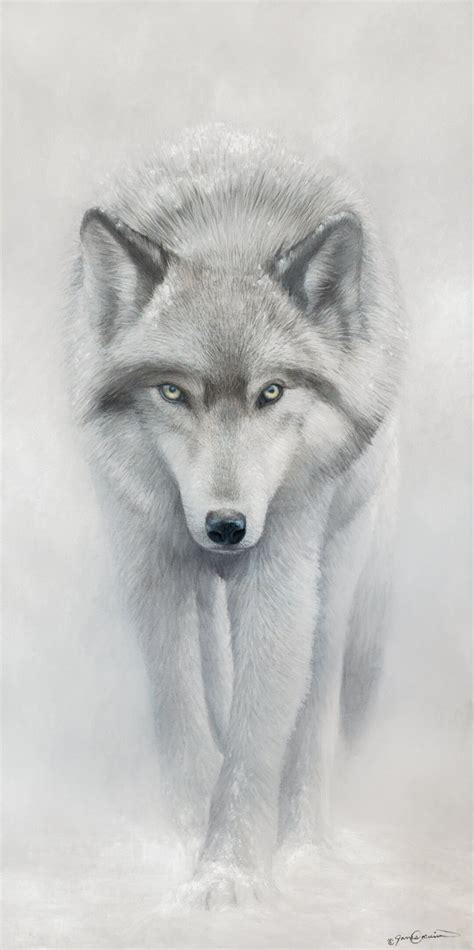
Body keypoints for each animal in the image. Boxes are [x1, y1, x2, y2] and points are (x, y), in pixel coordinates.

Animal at [68, 125, 405, 907]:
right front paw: (189, 838)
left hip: (336, 566)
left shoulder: (283, 562)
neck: (225, 235)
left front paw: (229, 873)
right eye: (172, 391)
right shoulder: (147, 555)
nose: (226, 527)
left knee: (313, 709)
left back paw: (307, 849)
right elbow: (181, 709)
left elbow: (259, 733)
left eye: (271, 392)